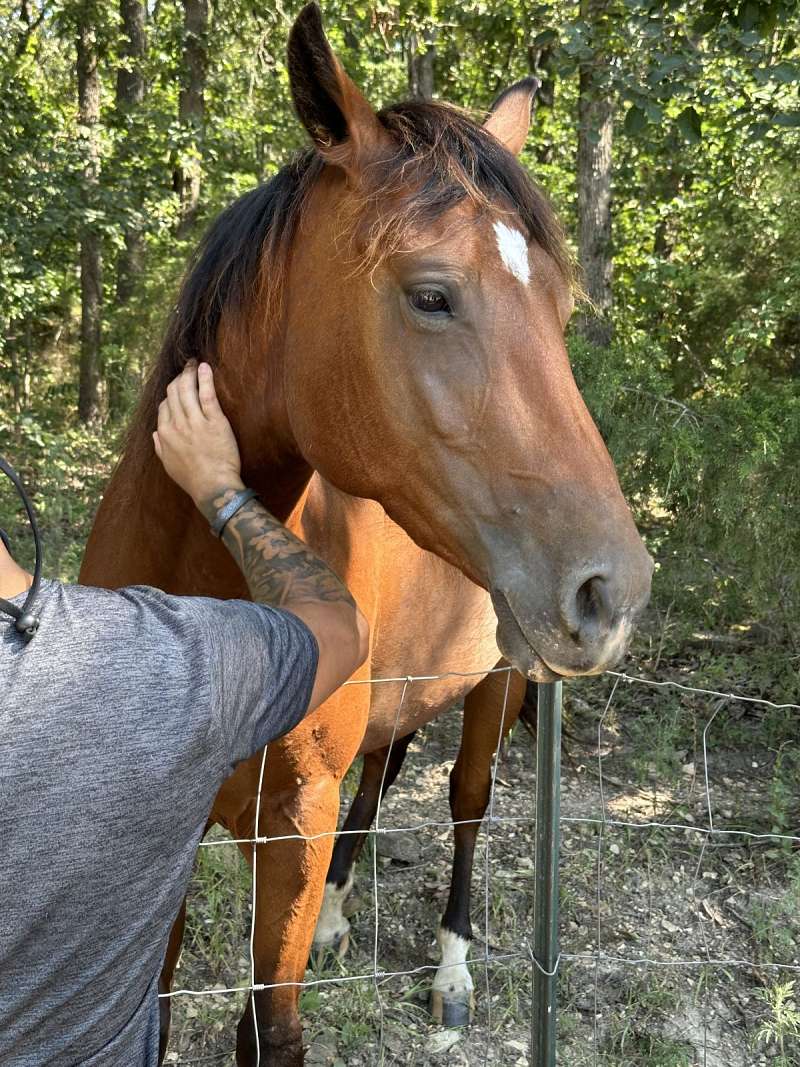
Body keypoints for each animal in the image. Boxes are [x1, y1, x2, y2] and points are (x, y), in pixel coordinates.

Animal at [80, 5, 653, 1064]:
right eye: (431, 294)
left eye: (557, 311)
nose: (614, 593)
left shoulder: (290, 826)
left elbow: (272, 1030)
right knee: (386, 766)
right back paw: (346, 913)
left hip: (502, 679)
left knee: (465, 800)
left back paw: (453, 970)